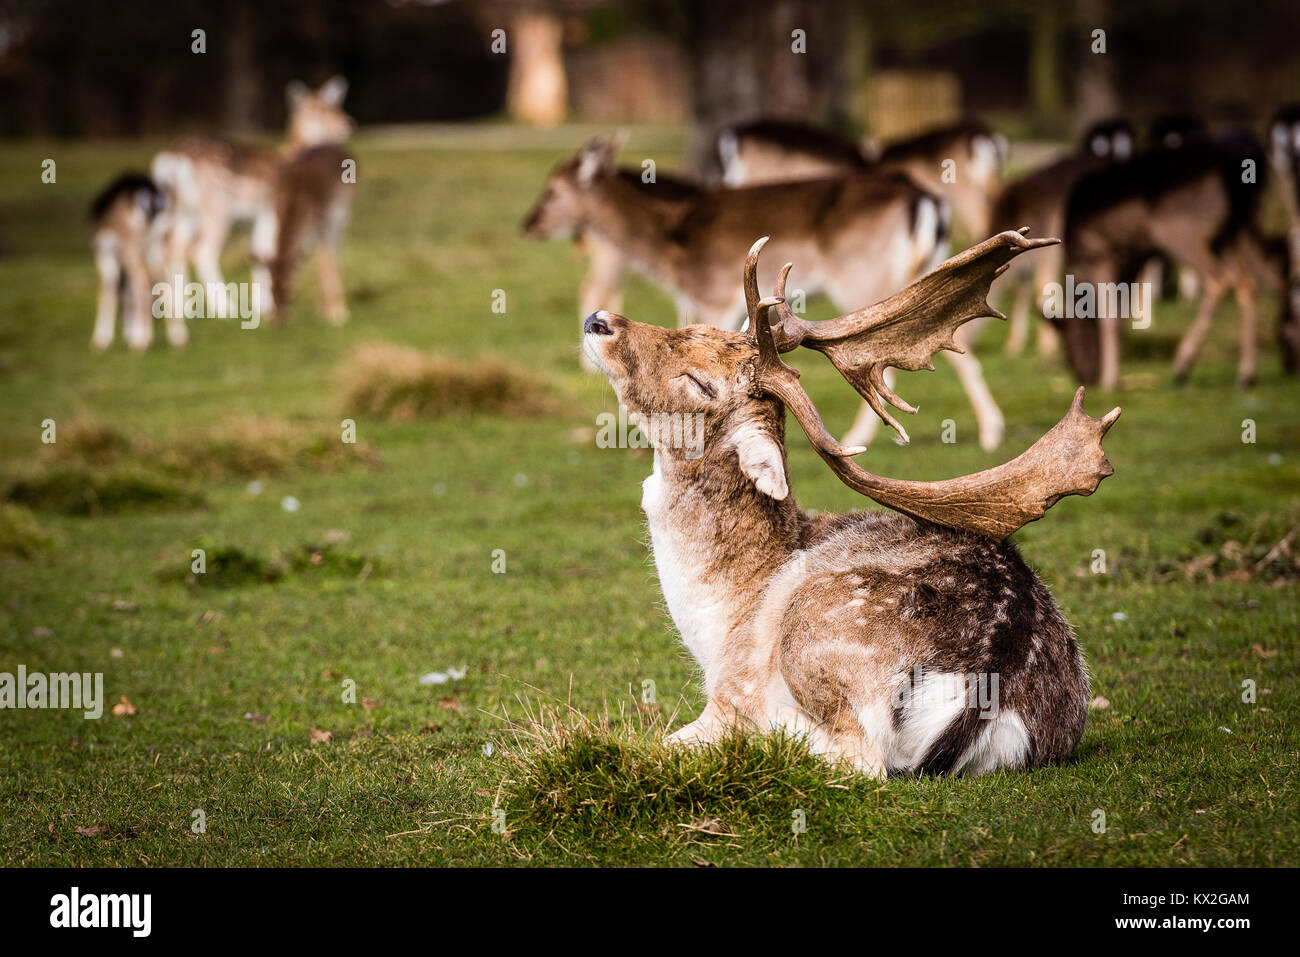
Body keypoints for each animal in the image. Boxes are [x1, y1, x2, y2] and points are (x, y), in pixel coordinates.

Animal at [150, 76, 354, 324]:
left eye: (336, 106)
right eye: (320, 110)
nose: (347, 123)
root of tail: (171, 159)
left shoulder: (254, 218)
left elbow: (257, 251)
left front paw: (262, 306)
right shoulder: (270, 212)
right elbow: (267, 249)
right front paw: (266, 306)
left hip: (182, 210)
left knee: (173, 246)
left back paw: (183, 308)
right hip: (216, 206)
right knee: (201, 250)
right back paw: (226, 309)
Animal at [524, 135, 1011, 452]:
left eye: (553, 189)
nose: (528, 224)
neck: (674, 254)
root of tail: (927, 203)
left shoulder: (716, 295)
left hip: (864, 277)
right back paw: (989, 429)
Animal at [581, 231, 1120, 778]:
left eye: (700, 383)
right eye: (690, 327)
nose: (599, 321)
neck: (721, 614)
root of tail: (986, 689)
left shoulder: (729, 690)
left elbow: (664, 740)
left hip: (813, 625)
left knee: (857, 758)